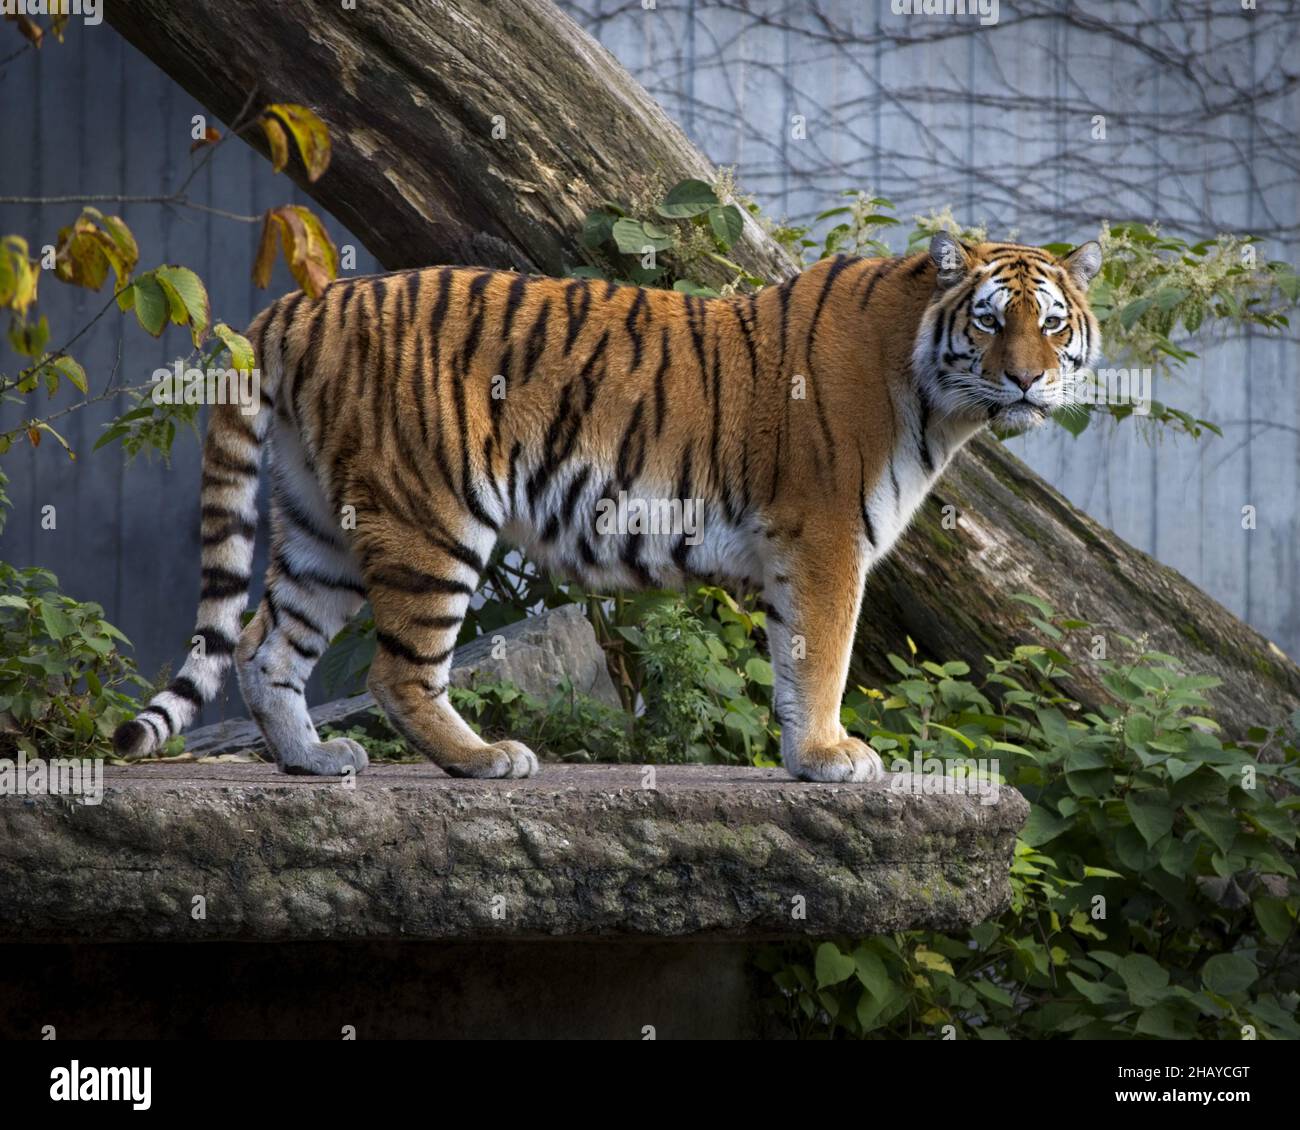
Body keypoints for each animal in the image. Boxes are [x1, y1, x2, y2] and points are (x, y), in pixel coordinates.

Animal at [113, 231, 1102, 783]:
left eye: (1052, 323)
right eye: (989, 319)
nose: (1028, 380)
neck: (938, 401)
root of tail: (298, 306)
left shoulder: (798, 552)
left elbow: (791, 663)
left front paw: (802, 760)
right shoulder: (825, 539)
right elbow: (824, 657)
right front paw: (833, 757)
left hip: (325, 522)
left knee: (262, 645)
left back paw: (312, 759)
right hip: (432, 515)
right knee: (398, 672)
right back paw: (485, 760)